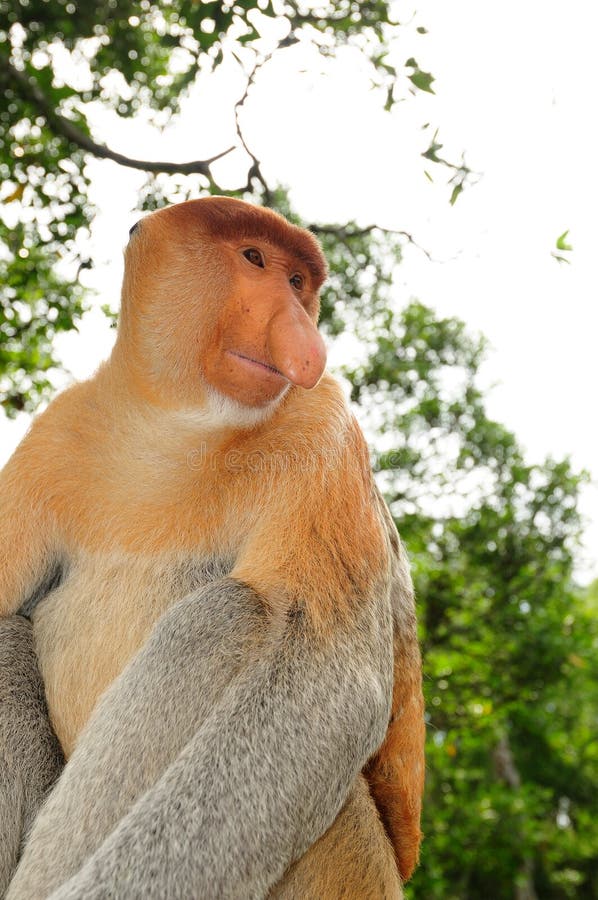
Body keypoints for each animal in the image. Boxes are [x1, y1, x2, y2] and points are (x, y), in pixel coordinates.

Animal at [0, 197, 424, 898]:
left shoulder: (322, 433)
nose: (305, 342)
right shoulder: (53, 438)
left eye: (298, 284)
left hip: (341, 859)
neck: (175, 422)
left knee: (229, 616)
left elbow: (323, 679)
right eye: (254, 258)